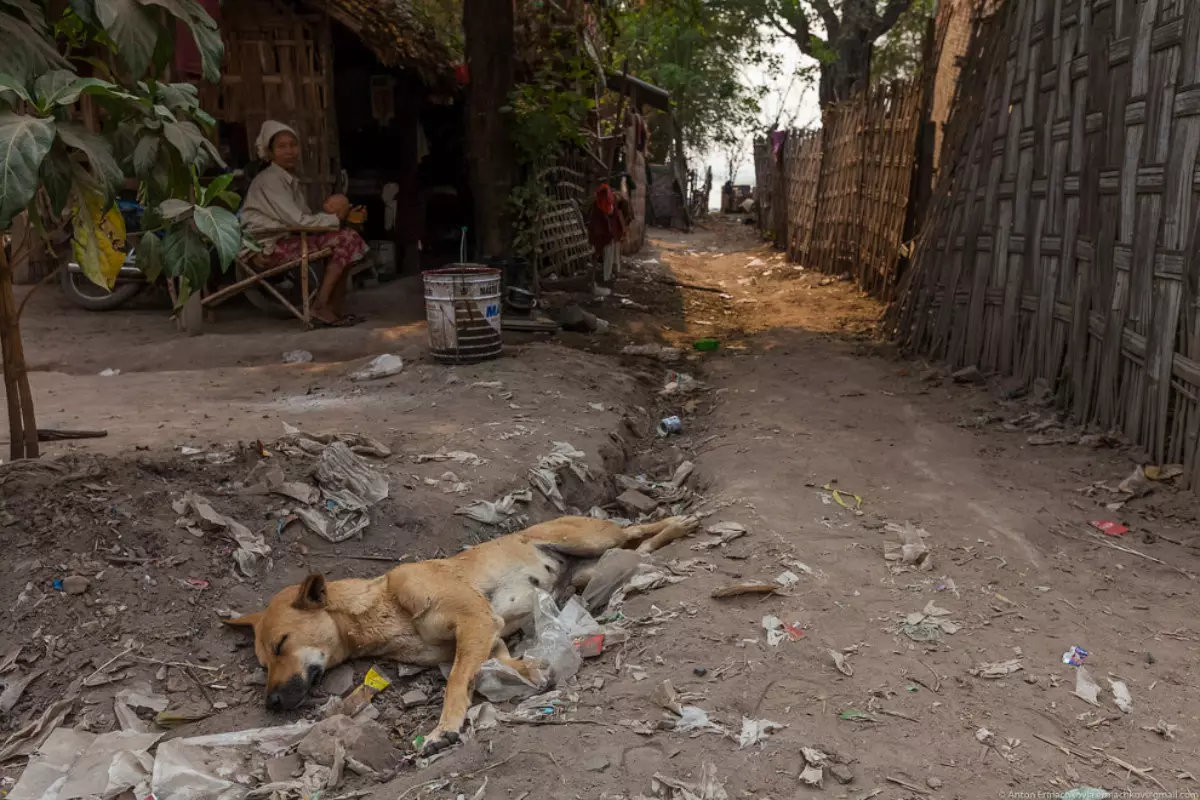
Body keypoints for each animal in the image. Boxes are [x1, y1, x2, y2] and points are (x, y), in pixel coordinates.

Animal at [226, 515, 696, 753]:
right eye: (264, 662)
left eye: (281, 644)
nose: (270, 704)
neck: (378, 609)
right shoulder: (488, 632)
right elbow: (499, 659)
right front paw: (529, 670)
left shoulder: (474, 620)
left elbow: (455, 680)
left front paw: (444, 728)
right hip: (587, 567)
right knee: (626, 549)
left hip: (580, 536)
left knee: (635, 528)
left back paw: (678, 524)